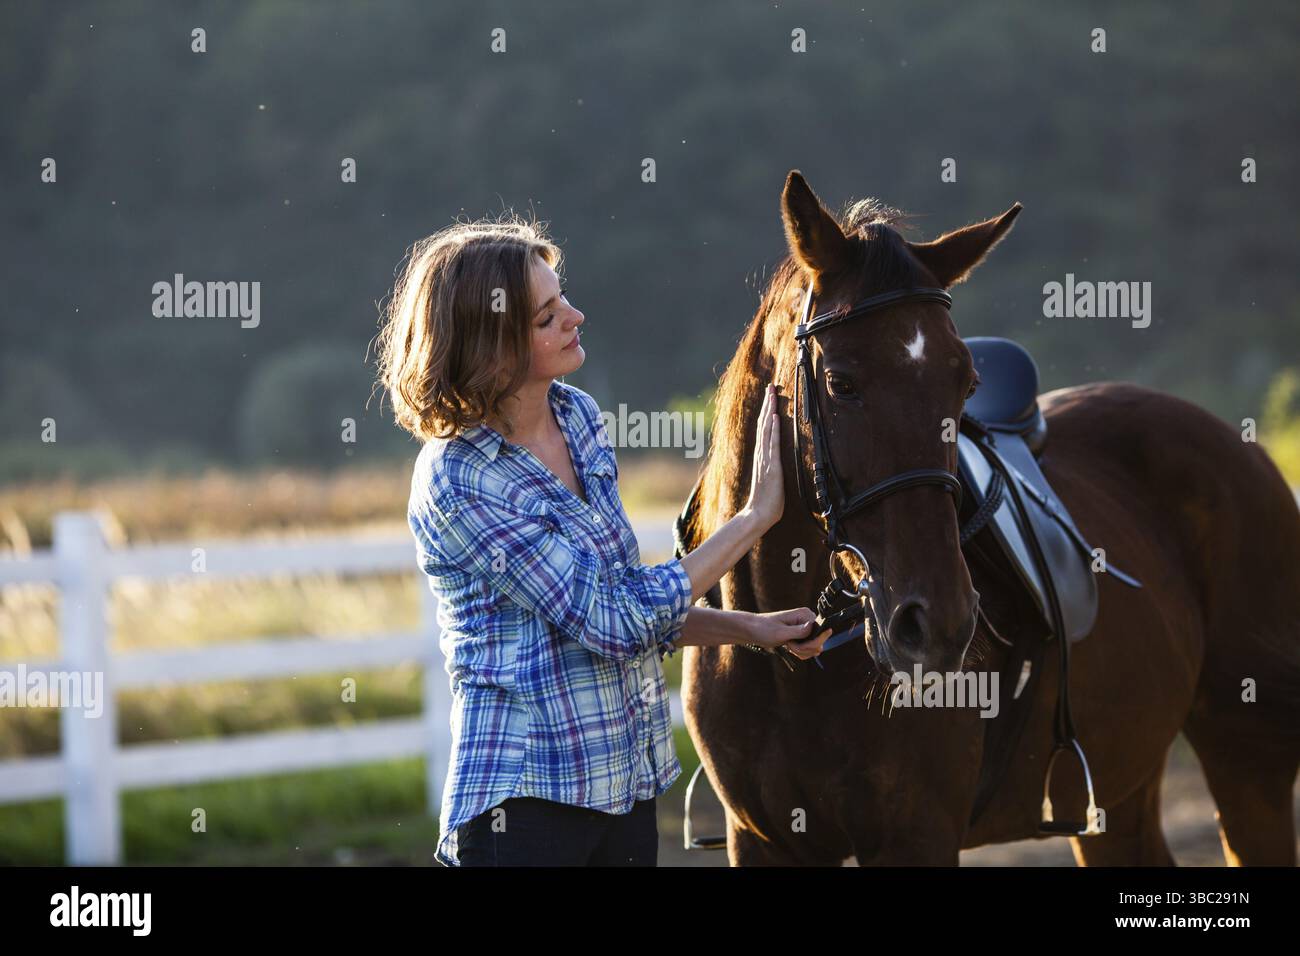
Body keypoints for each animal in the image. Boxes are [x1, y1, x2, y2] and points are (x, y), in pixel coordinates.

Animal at [678, 170, 1300, 866]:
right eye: (840, 383)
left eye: (966, 384)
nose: (939, 625)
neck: (789, 664)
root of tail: (1242, 448)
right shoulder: (762, 840)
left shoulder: (916, 834)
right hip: (1124, 789)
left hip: (1250, 759)